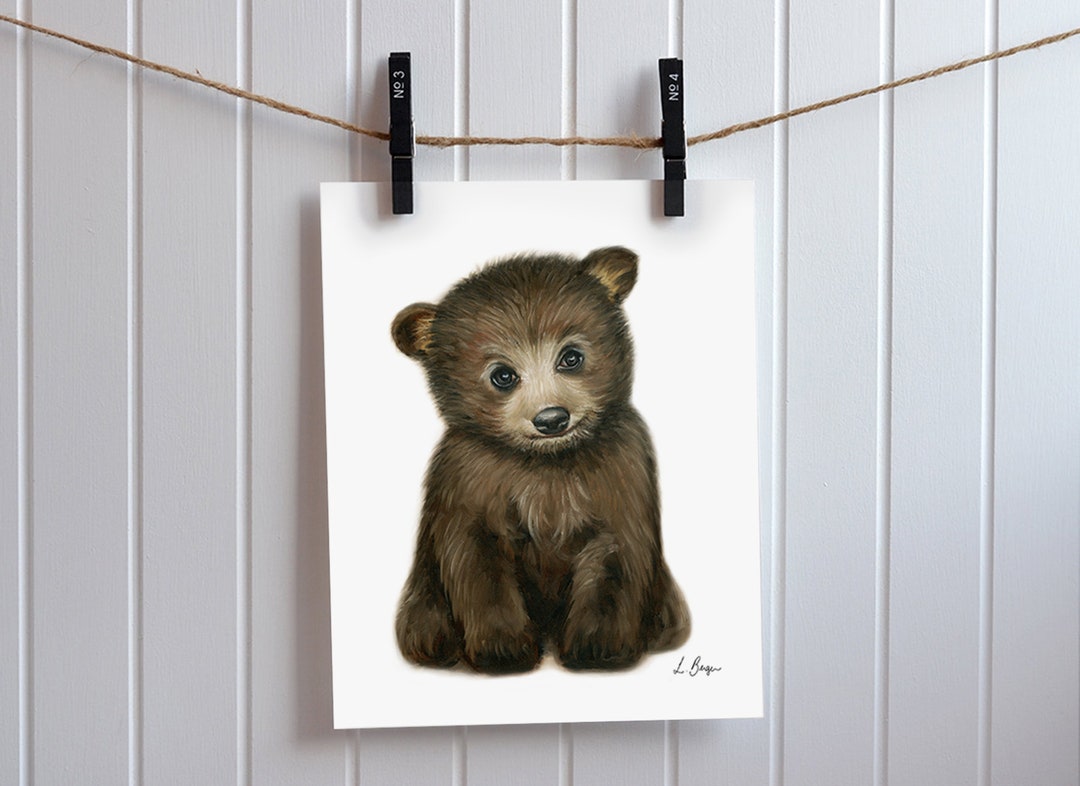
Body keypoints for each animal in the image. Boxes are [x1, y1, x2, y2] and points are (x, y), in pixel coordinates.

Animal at [391, 246, 690, 674]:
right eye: (502, 375)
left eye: (571, 356)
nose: (551, 418)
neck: (547, 463)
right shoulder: (467, 480)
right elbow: (477, 566)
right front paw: (503, 649)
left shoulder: (623, 469)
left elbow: (614, 560)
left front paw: (597, 647)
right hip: (424, 596)